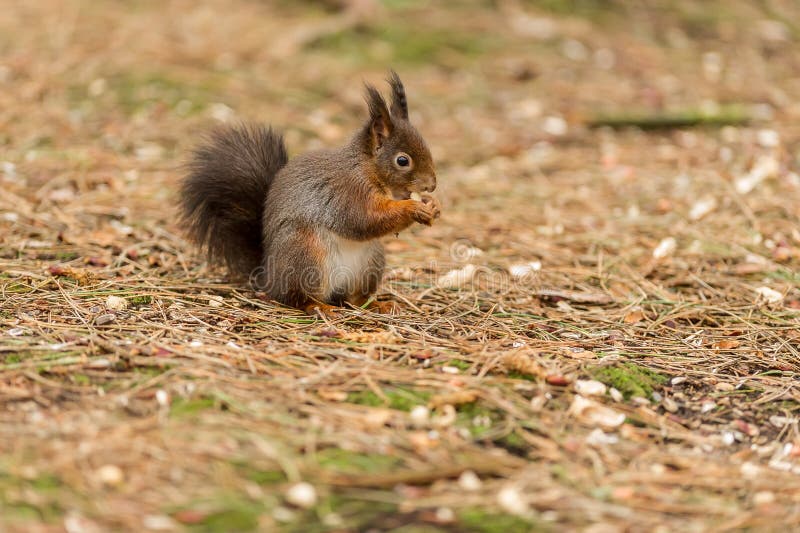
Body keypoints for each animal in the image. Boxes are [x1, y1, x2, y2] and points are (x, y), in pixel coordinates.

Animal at [179, 71, 440, 317]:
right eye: (402, 161)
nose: (432, 185)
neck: (367, 168)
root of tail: (268, 275)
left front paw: (433, 207)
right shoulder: (347, 192)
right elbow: (364, 220)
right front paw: (413, 208)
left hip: (370, 263)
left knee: (353, 298)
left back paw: (377, 305)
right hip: (306, 255)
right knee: (296, 298)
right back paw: (319, 307)